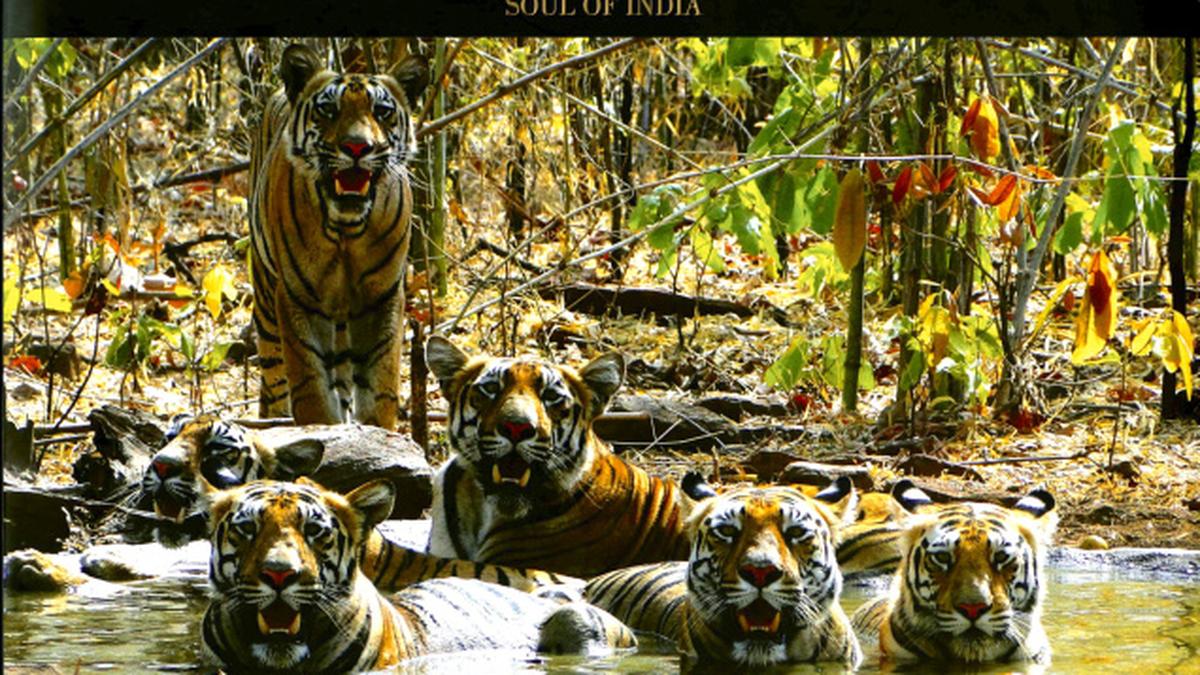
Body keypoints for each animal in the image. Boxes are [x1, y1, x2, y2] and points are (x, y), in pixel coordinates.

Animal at [249, 43, 426, 428]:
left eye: (382, 112)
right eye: (328, 109)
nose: (357, 147)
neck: (347, 229)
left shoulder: (383, 298)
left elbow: (380, 388)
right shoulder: (296, 298)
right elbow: (311, 387)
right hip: (267, 306)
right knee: (275, 385)